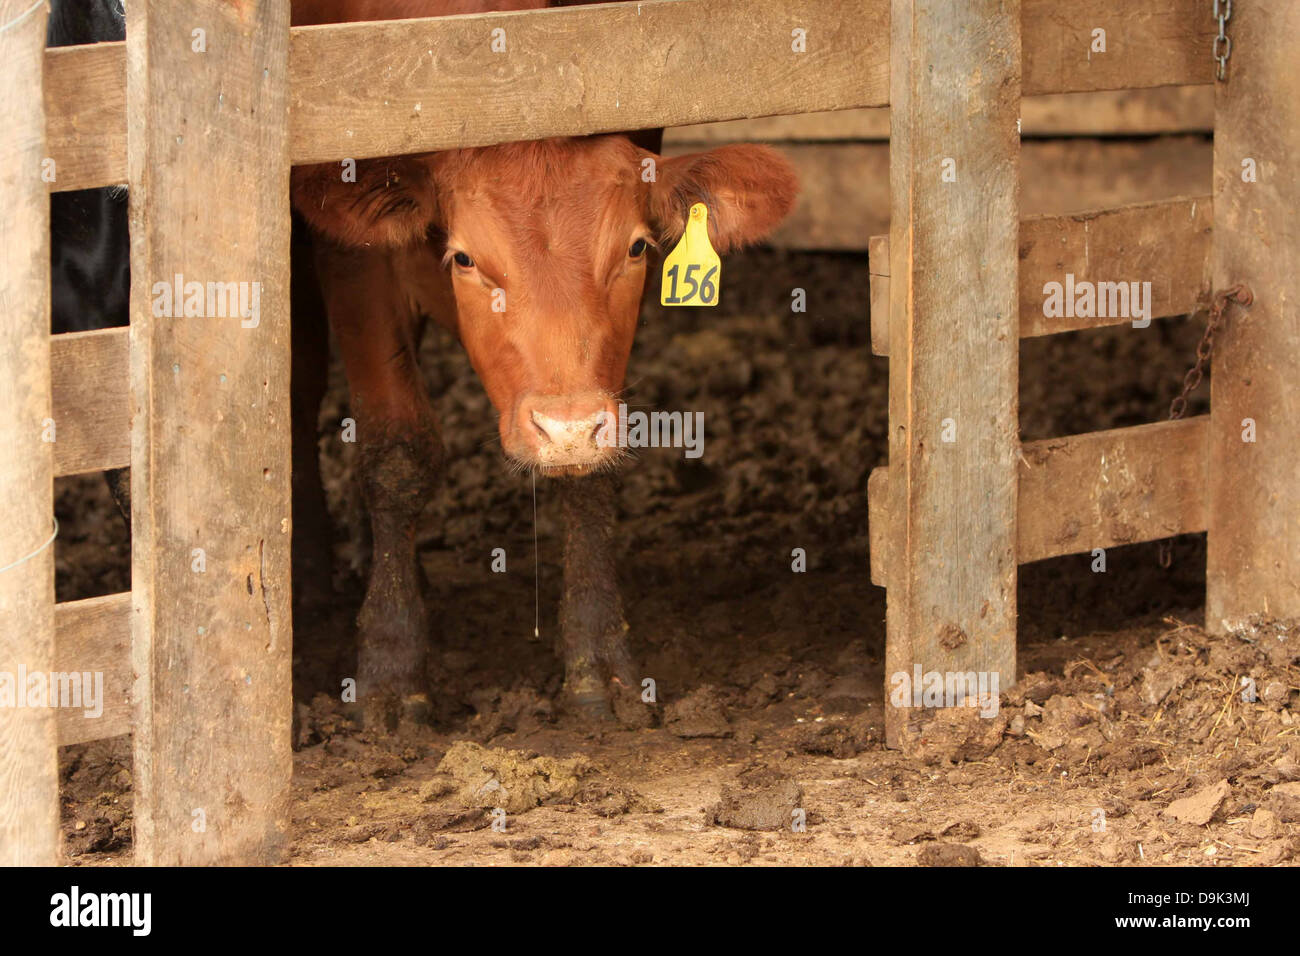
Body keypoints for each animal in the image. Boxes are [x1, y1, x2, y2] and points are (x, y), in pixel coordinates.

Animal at [290, 0, 799, 727]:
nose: (566, 429)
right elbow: (395, 452)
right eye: (466, 258)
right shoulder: (354, 259)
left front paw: (597, 657)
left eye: (637, 249)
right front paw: (389, 667)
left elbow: (589, 479)